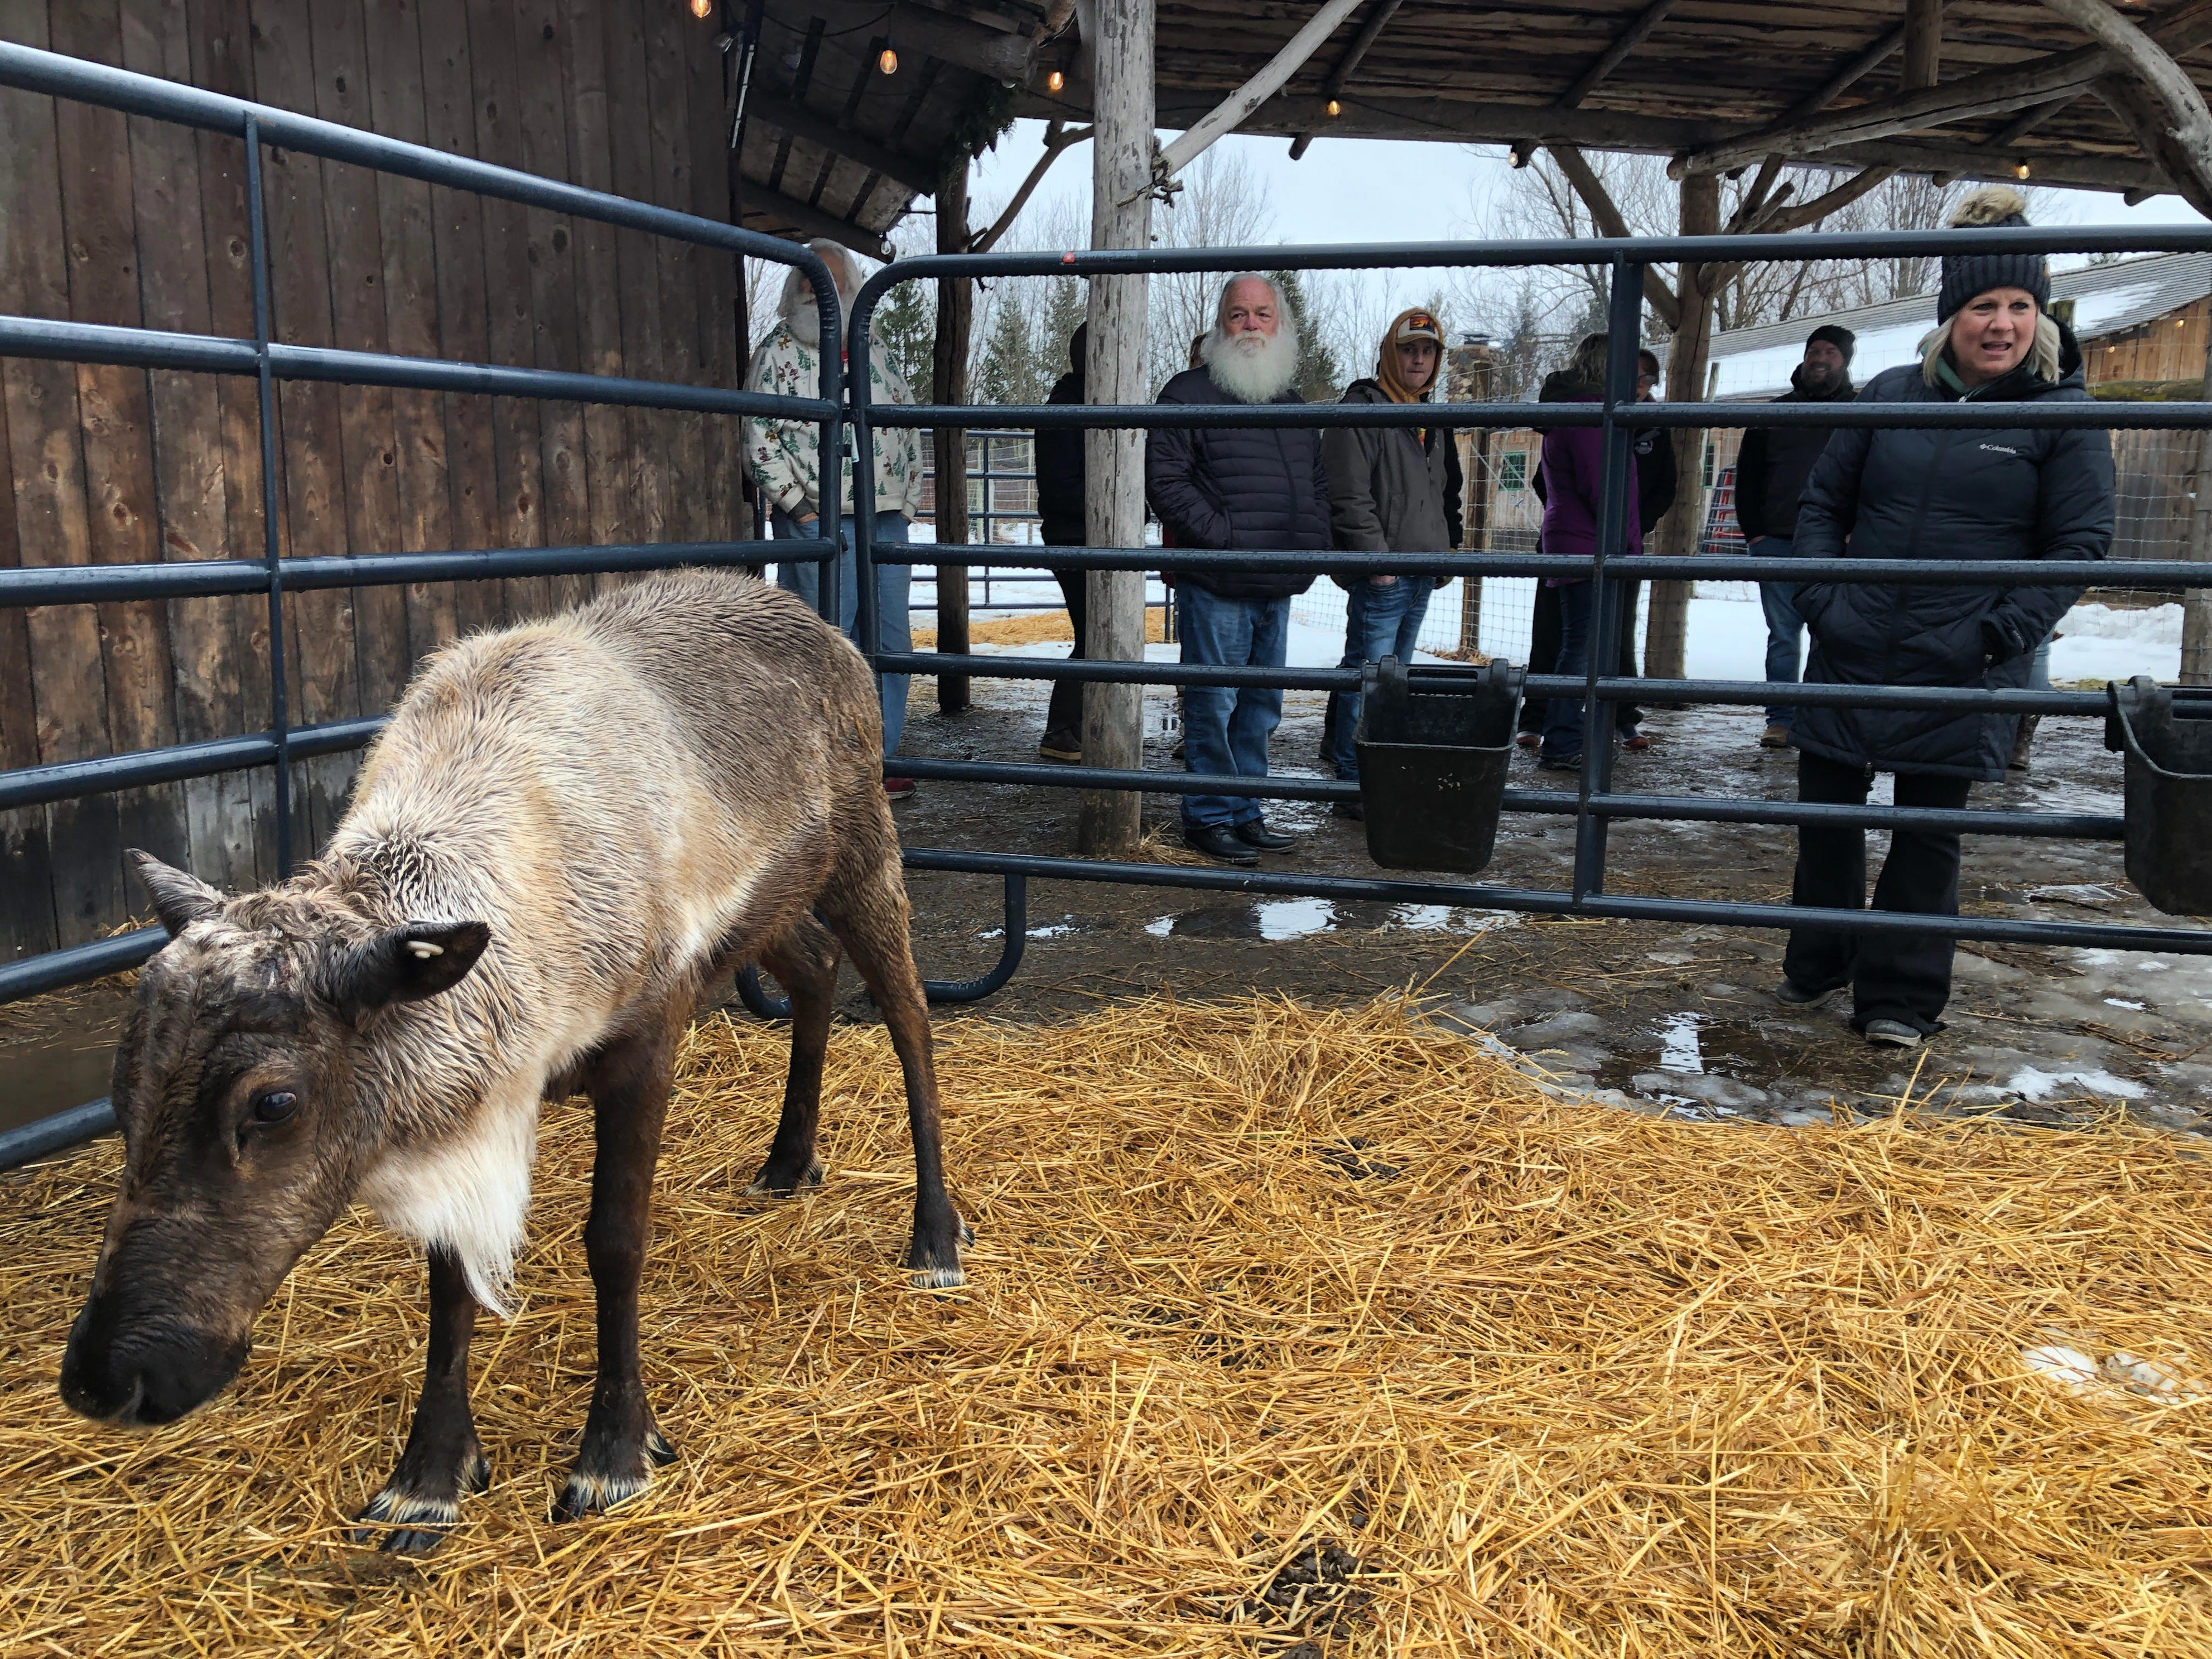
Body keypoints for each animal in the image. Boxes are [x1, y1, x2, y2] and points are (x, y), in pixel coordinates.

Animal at [56, 569, 967, 1554]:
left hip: (863, 849)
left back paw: (935, 1234)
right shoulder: (468, 1100)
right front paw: (429, 1475)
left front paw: (614, 1450)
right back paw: (790, 1158)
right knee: (814, 967)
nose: (108, 1378)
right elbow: (450, 1283)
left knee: (910, 1017)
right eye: (123, 1089)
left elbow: (615, 1240)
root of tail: (823, 628)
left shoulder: (647, 1035)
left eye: (272, 1103)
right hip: (772, 909)